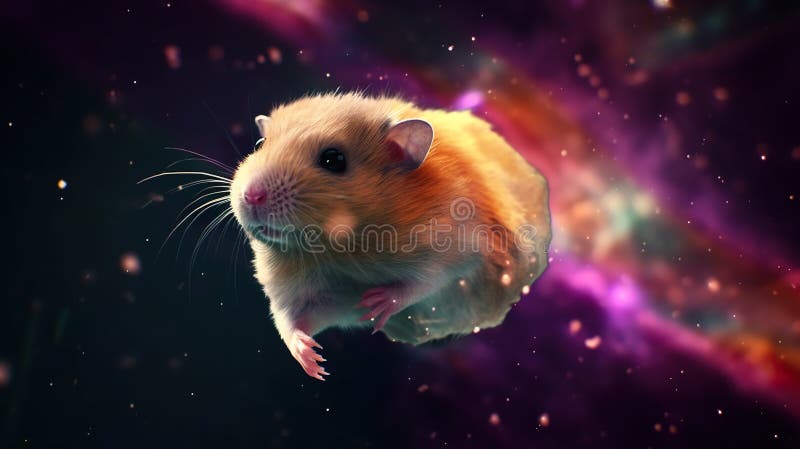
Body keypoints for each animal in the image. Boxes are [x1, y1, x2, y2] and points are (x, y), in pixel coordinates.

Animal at [230, 92, 551, 380]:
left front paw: (377, 302)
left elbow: (424, 281)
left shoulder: (458, 247)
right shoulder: (316, 296)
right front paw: (315, 363)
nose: (252, 196)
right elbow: (290, 319)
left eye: (333, 160)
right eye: (259, 144)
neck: (335, 248)